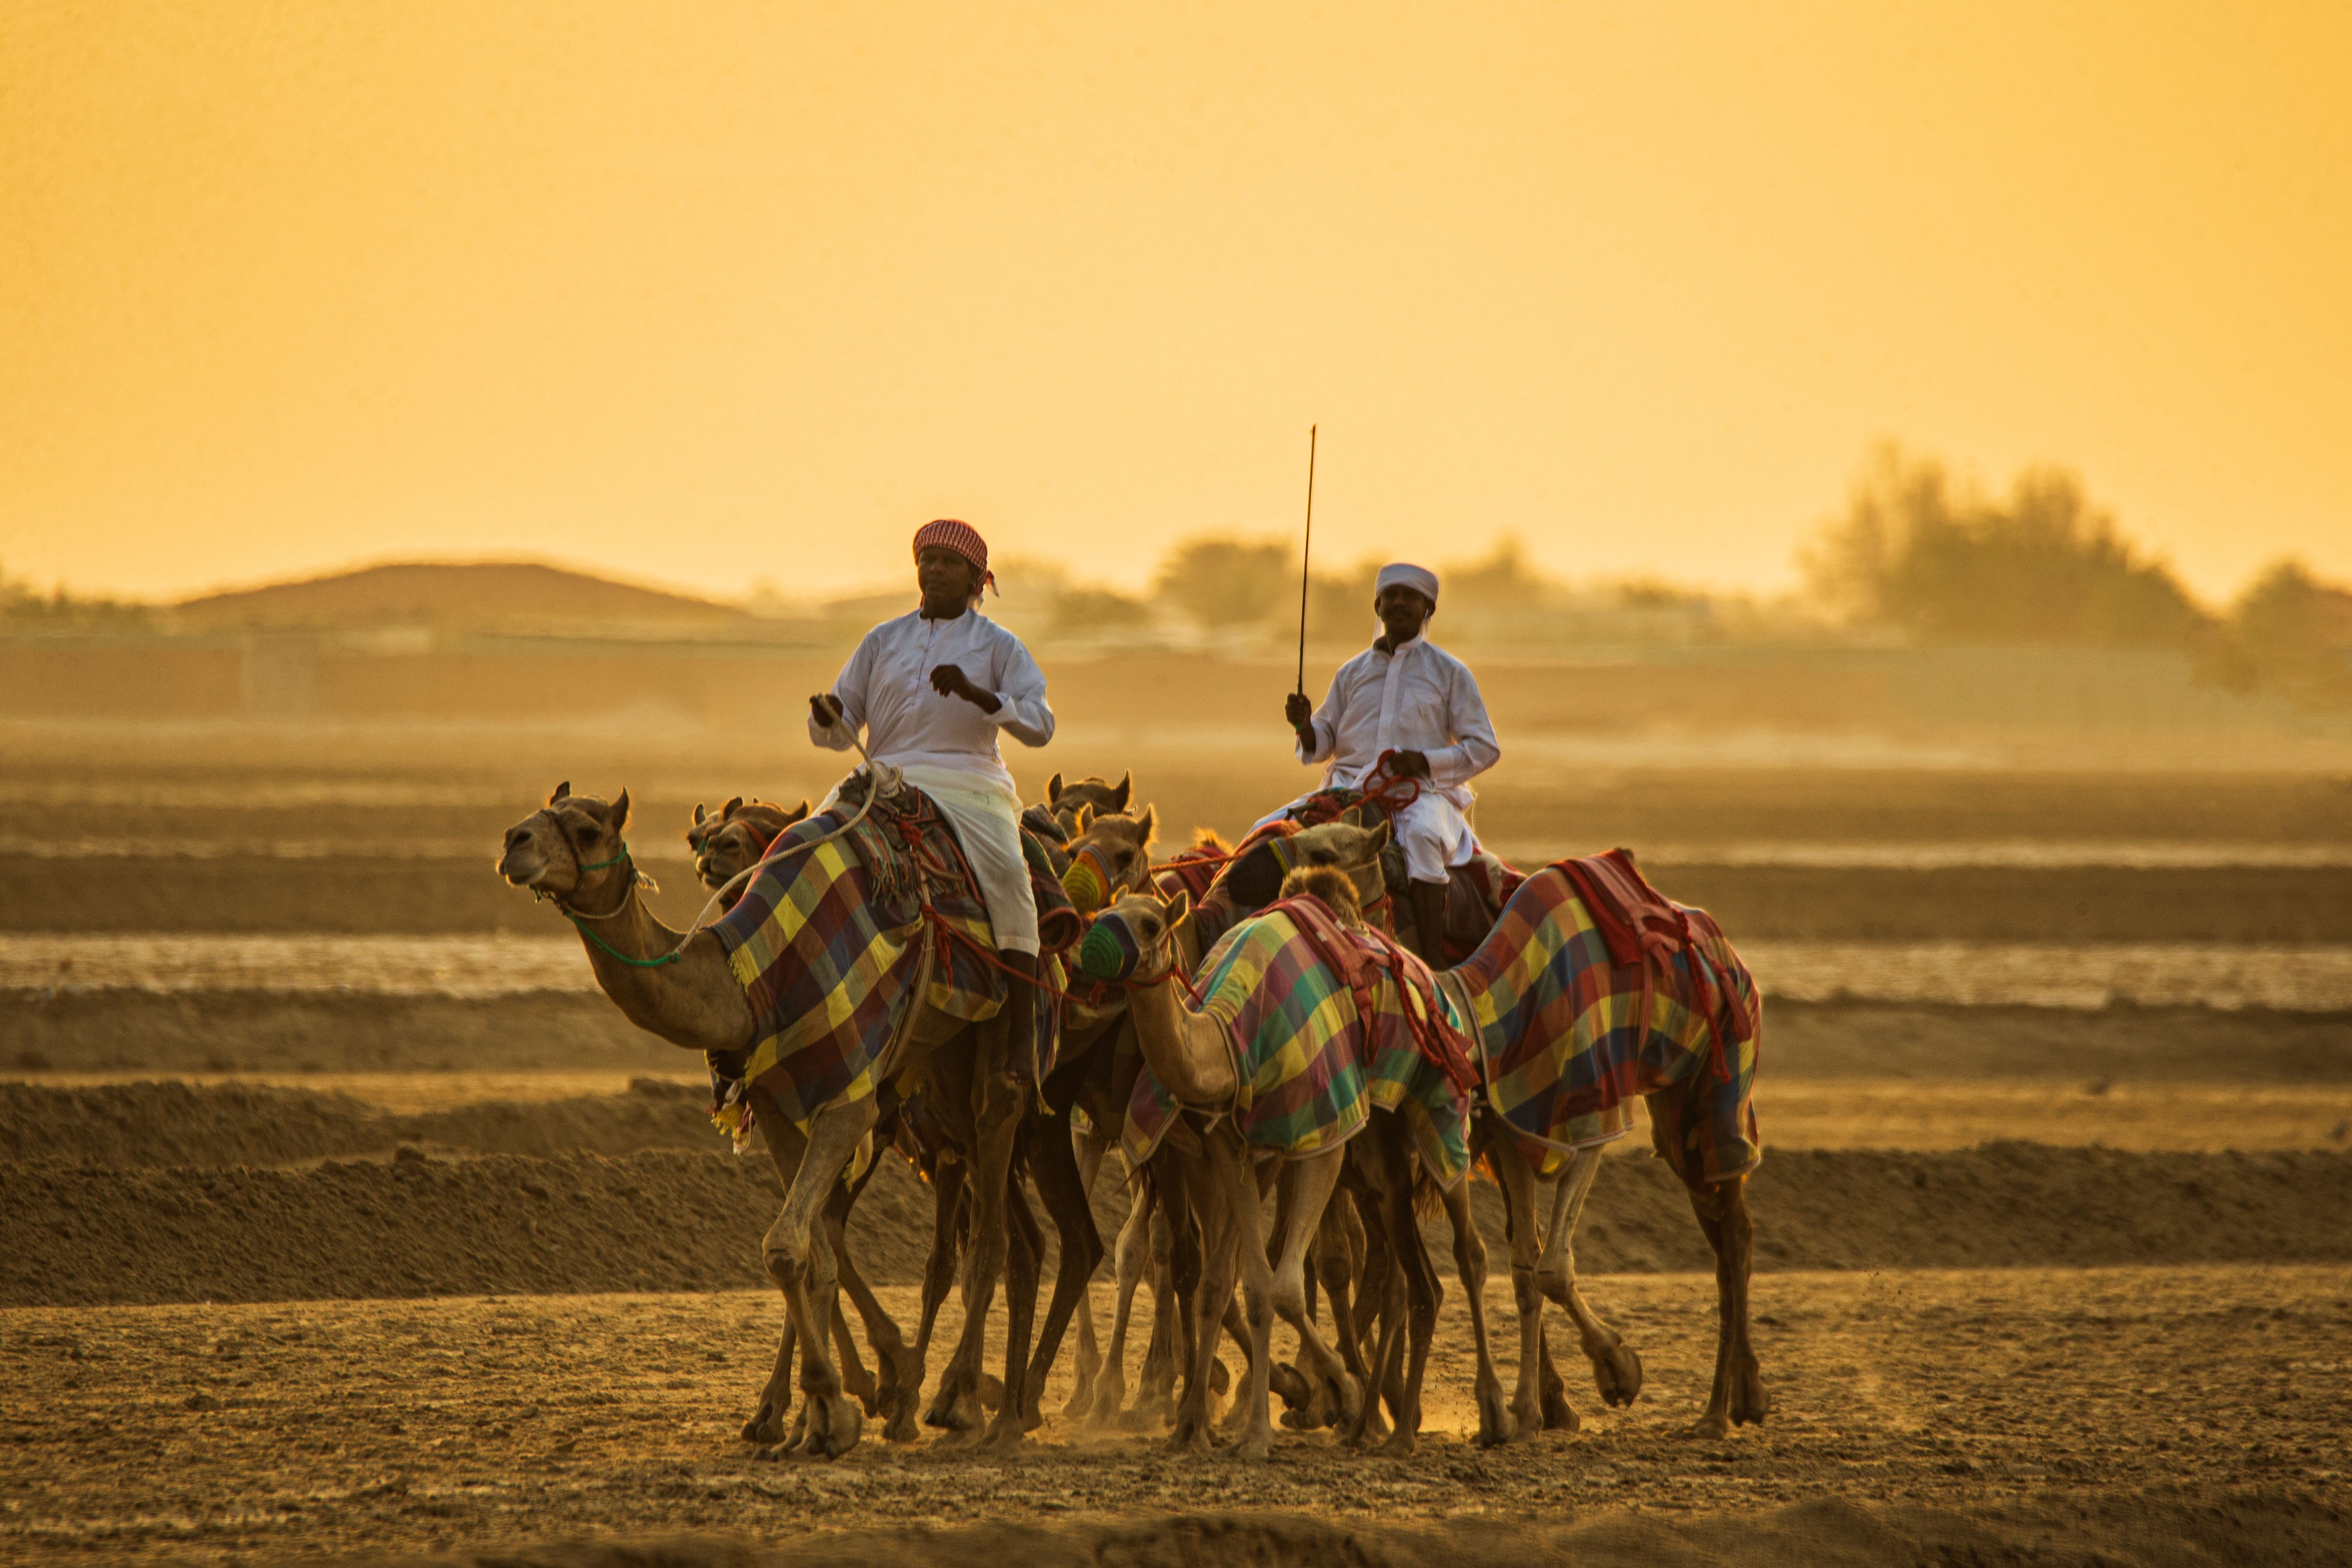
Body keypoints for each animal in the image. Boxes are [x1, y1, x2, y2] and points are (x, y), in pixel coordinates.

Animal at [497, 780, 1038, 1457]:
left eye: (590, 829)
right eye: (694, 838)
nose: (513, 842)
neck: (755, 981)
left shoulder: (849, 1098)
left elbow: (788, 1243)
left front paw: (833, 1405)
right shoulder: (780, 1101)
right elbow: (808, 1252)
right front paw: (808, 1412)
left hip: (997, 1051)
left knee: (992, 1230)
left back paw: (962, 1400)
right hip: (940, 1064)